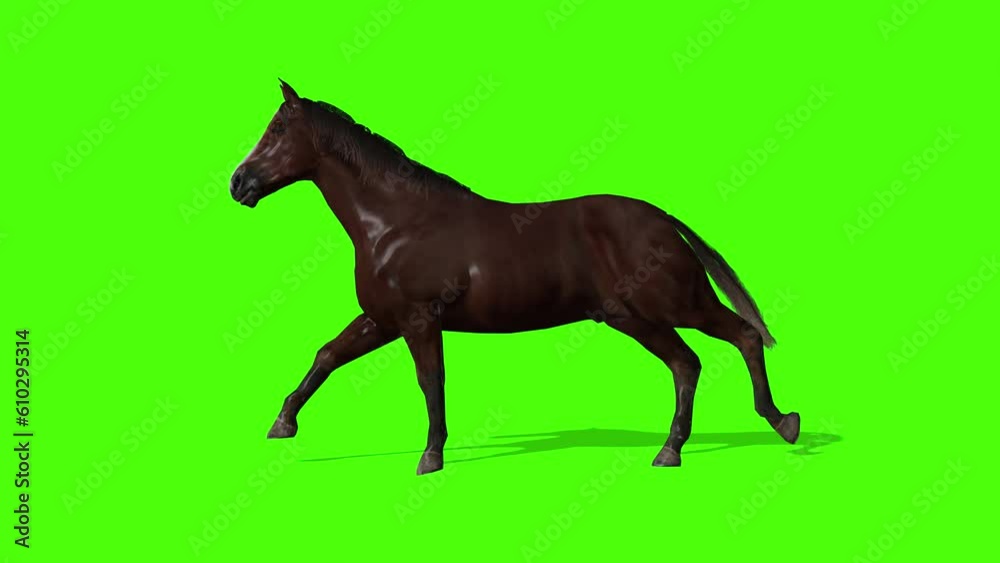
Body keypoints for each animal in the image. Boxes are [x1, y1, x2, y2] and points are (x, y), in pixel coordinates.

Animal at [229, 80, 799, 475]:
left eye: (277, 131)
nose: (239, 183)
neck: (395, 222)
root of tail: (660, 219)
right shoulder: (382, 319)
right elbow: (327, 355)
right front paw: (282, 423)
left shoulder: (418, 320)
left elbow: (430, 381)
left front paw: (430, 457)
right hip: (632, 318)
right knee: (687, 363)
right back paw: (672, 449)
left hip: (677, 304)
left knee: (741, 337)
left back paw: (782, 423)